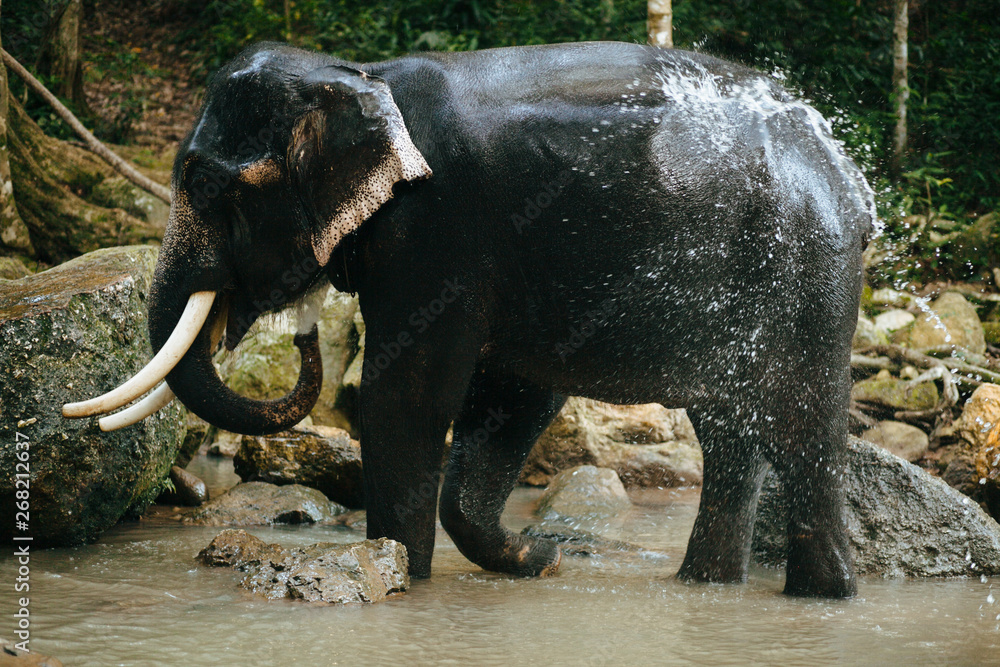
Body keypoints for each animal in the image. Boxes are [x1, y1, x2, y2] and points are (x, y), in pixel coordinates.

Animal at [64, 40, 874, 598]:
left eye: (204, 182)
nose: (301, 327)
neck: (362, 77)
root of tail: (844, 167)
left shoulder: (437, 229)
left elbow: (410, 396)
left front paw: (401, 573)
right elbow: (514, 391)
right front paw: (537, 558)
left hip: (807, 267)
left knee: (804, 422)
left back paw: (824, 596)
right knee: (733, 427)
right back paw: (706, 587)